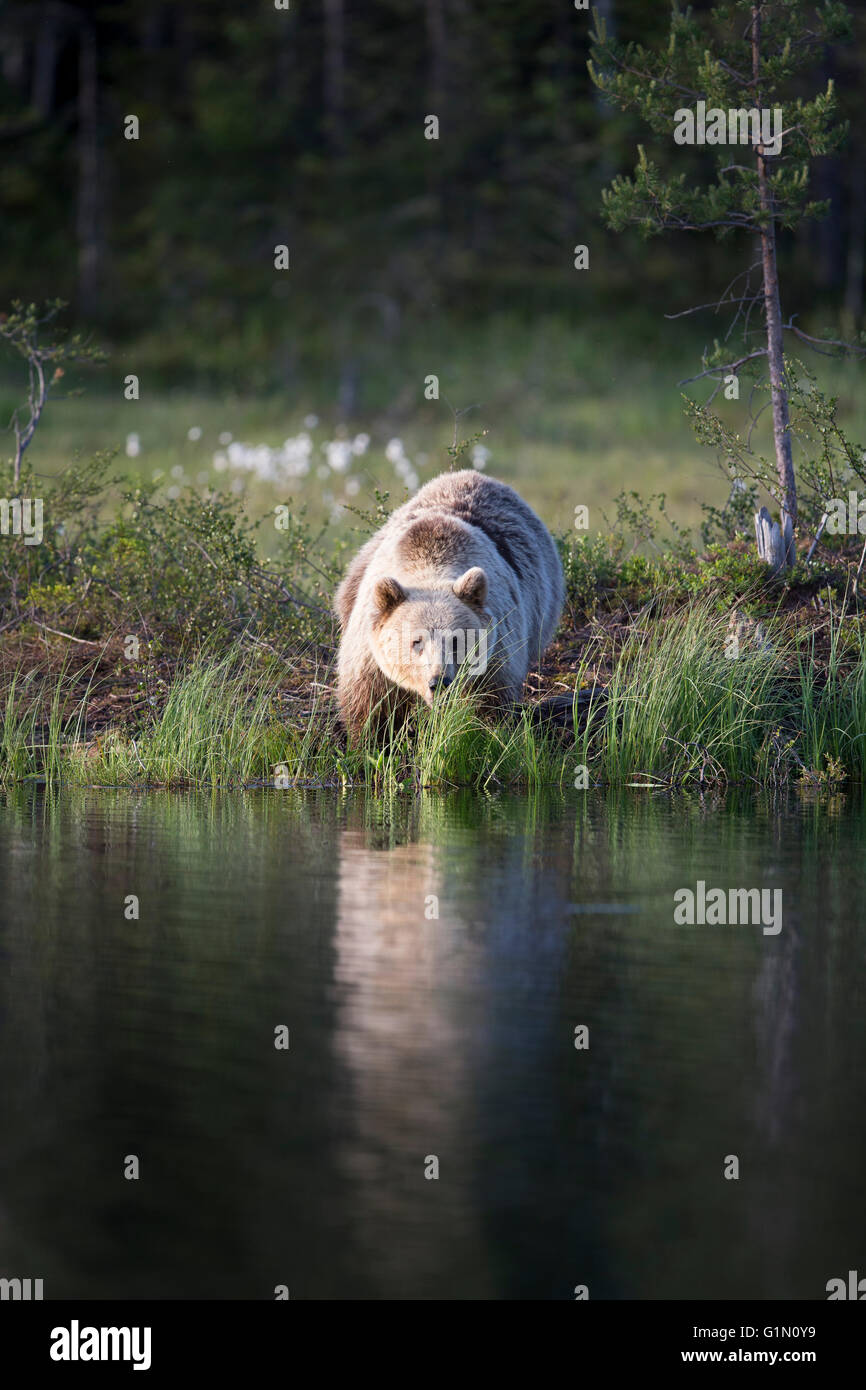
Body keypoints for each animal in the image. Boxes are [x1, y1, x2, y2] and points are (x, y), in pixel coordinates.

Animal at [333, 469, 564, 734]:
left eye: (456, 640)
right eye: (416, 641)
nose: (439, 681)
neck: (430, 561)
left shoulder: (498, 649)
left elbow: (491, 702)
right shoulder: (370, 657)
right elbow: (372, 706)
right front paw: (374, 737)